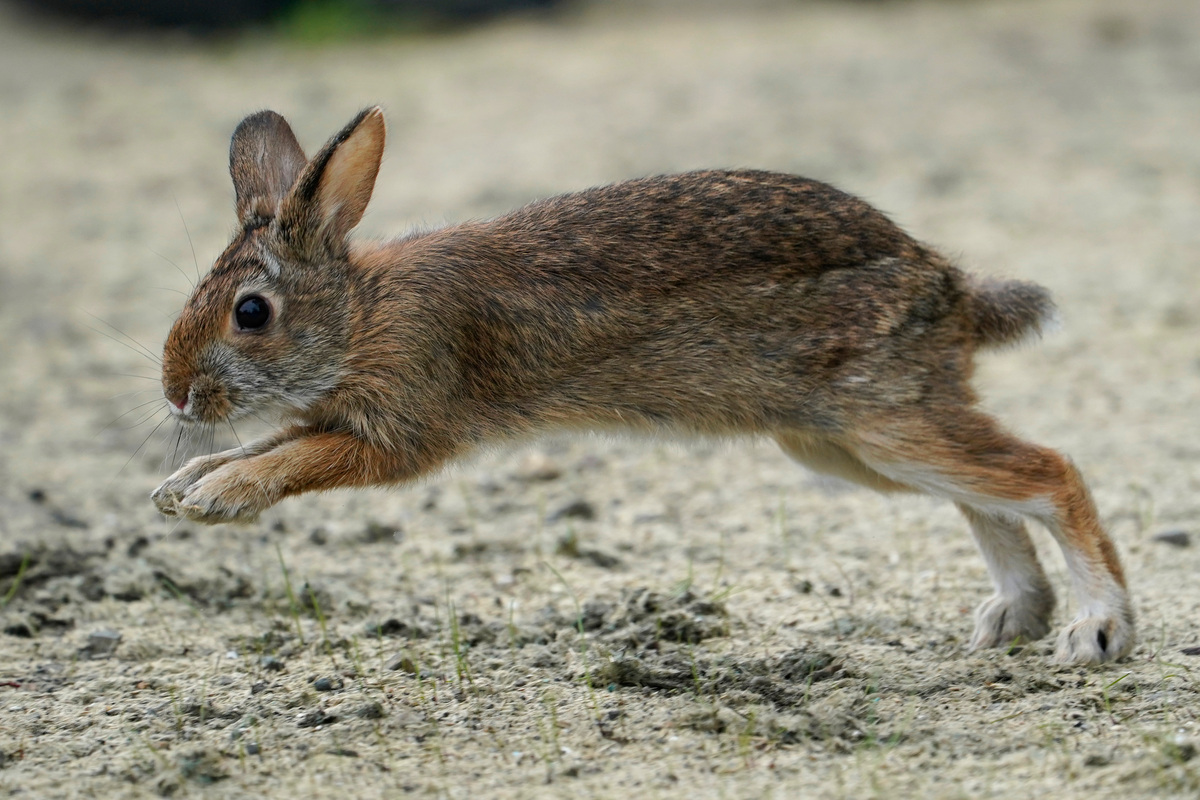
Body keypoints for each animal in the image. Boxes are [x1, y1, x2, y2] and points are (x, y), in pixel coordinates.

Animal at [151, 106, 1134, 665]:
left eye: (249, 313)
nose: (174, 395)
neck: (359, 316)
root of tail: (947, 283)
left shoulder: (404, 425)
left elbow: (297, 458)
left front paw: (217, 497)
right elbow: (275, 437)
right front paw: (182, 485)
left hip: (880, 422)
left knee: (1047, 472)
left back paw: (1096, 631)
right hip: (844, 440)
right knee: (988, 494)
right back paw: (1016, 618)